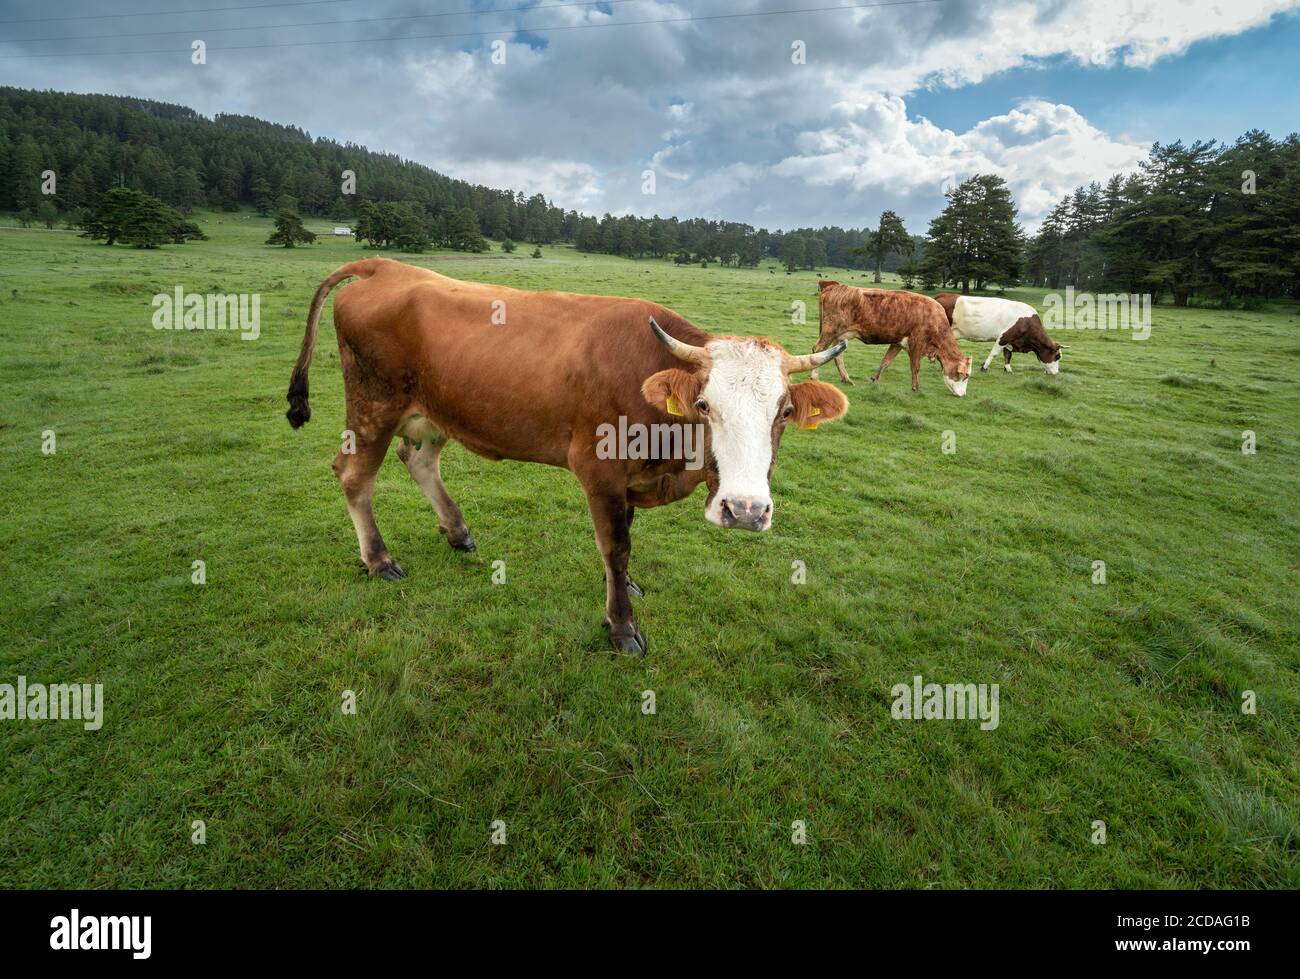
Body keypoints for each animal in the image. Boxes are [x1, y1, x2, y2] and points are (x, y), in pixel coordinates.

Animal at [285, 258, 850, 657]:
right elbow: (615, 545)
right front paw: (621, 626)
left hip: (433, 410)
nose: (747, 511)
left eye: (784, 411)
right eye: (705, 406)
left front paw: (625, 588)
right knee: (354, 476)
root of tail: (384, 266)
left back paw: (457, 531)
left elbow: (624, 540)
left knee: (419, 460)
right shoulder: (599, 469)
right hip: (373, 406)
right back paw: (379, 560)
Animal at [809, 281, 972, 396]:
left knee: (838, 355)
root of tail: (834, 287)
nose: (963, 395)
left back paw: (847, 379)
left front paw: (875, 379)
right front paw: (916, 387)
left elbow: (886, 361)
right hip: (830, 330)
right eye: (964, 375)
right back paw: (814, 377)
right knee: (818, 350)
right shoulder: (916, 343)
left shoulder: (897, 343)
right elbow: (915, 367)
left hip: (840, 335)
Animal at [933, 294, 1061, 374]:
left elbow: (1007, 355)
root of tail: (943, 295)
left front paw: (1008, 369)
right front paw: (984, 367)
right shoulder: (1004, 337)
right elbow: (994, 353)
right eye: (1057, 356)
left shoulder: (1010, 340)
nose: (1056, 373)